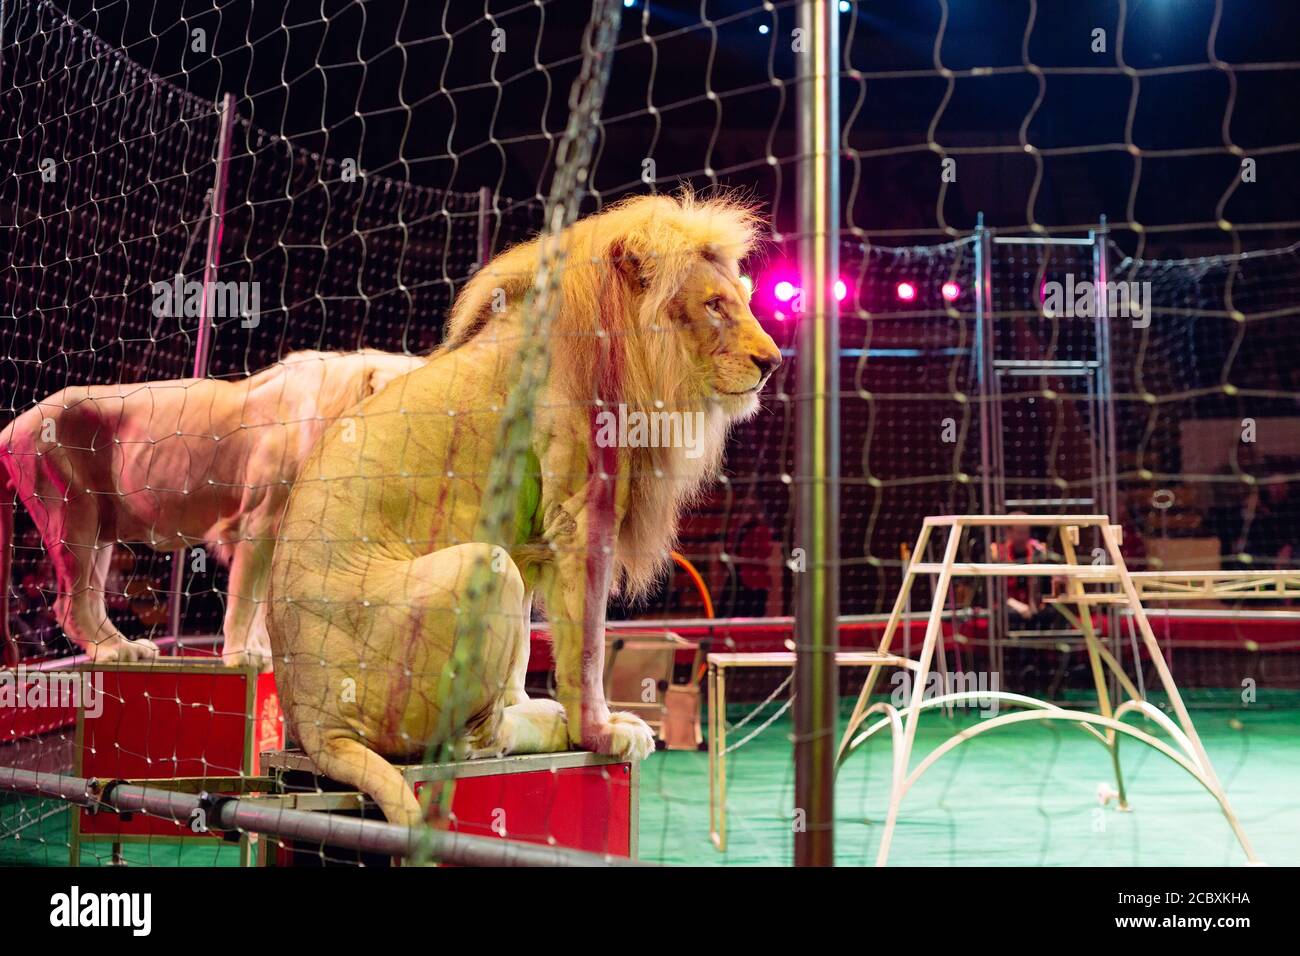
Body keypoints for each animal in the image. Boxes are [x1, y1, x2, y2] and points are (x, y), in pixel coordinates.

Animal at [0, 349, 425, 670]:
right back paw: (113, 651)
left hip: (100, 528)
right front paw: (240, 656)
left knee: (89, 598)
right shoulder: (259, 525)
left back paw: (128, 648)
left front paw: (262, 652)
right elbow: (246, 598)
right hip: (73, 515)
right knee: (70, 604)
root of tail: (13, 425)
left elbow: (262, 606)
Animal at [267, 192, 782, 828]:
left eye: (743, 299)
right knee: (466, 742)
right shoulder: (581, 516)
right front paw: (600, 731)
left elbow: (533, 643)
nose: (773, 362)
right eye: (714, 304)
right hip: (476, 569)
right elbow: (585, 647)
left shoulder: (535, 532)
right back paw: (547, 725)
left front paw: (542, 702)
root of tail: (314, 725)